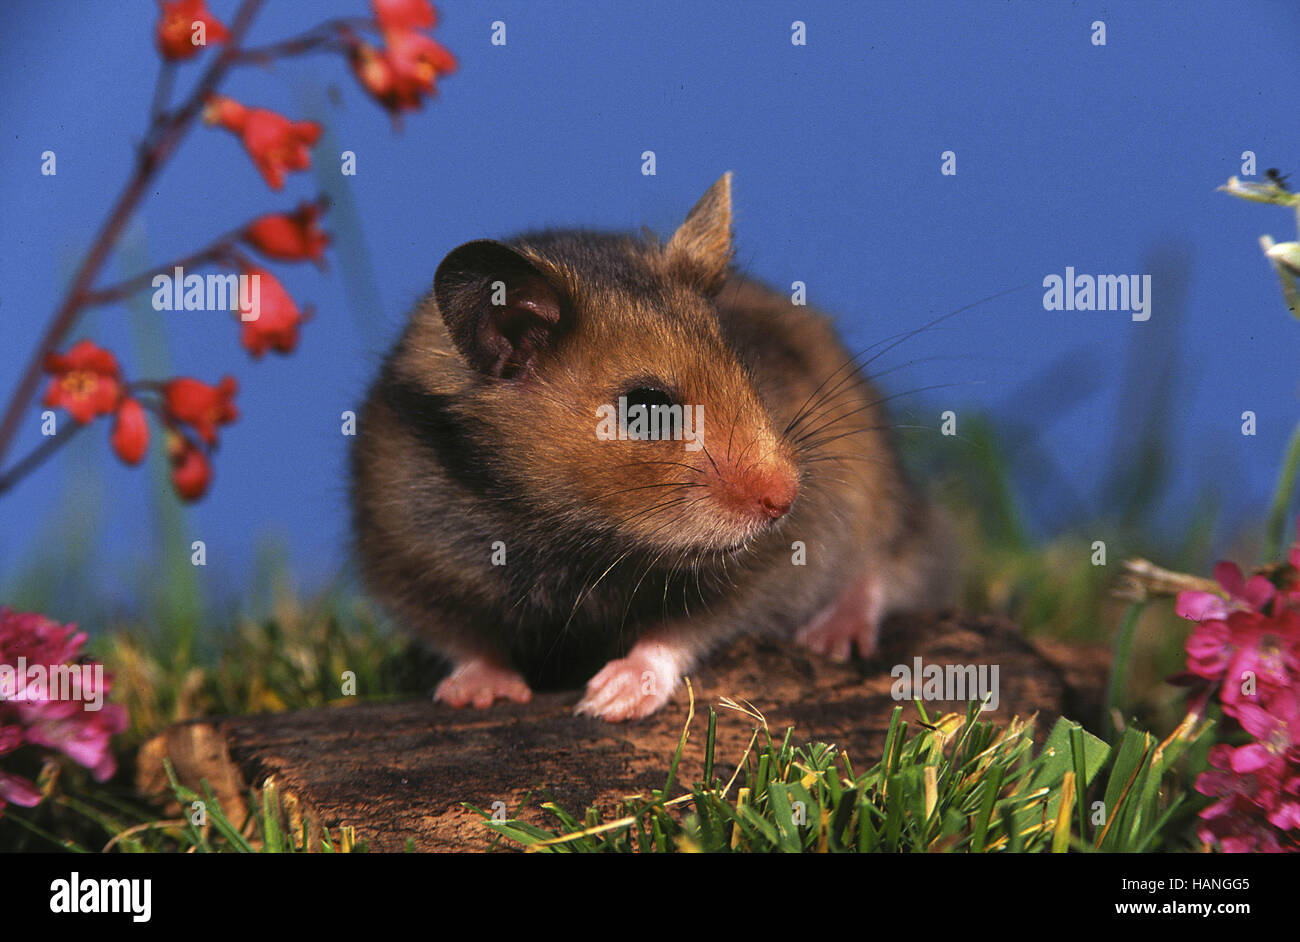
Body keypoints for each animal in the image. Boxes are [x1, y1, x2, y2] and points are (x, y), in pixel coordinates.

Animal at [350, 173, 950, 722]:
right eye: (644, 409)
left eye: (745, 366)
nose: (787, 500)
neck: (566, 539)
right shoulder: (406, 555)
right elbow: (461, 638)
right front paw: (480, 693)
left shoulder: (765, 569)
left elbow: (685, 629)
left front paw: (609, 701)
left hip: (874, 491)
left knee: (887, 559)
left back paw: (833, 635)